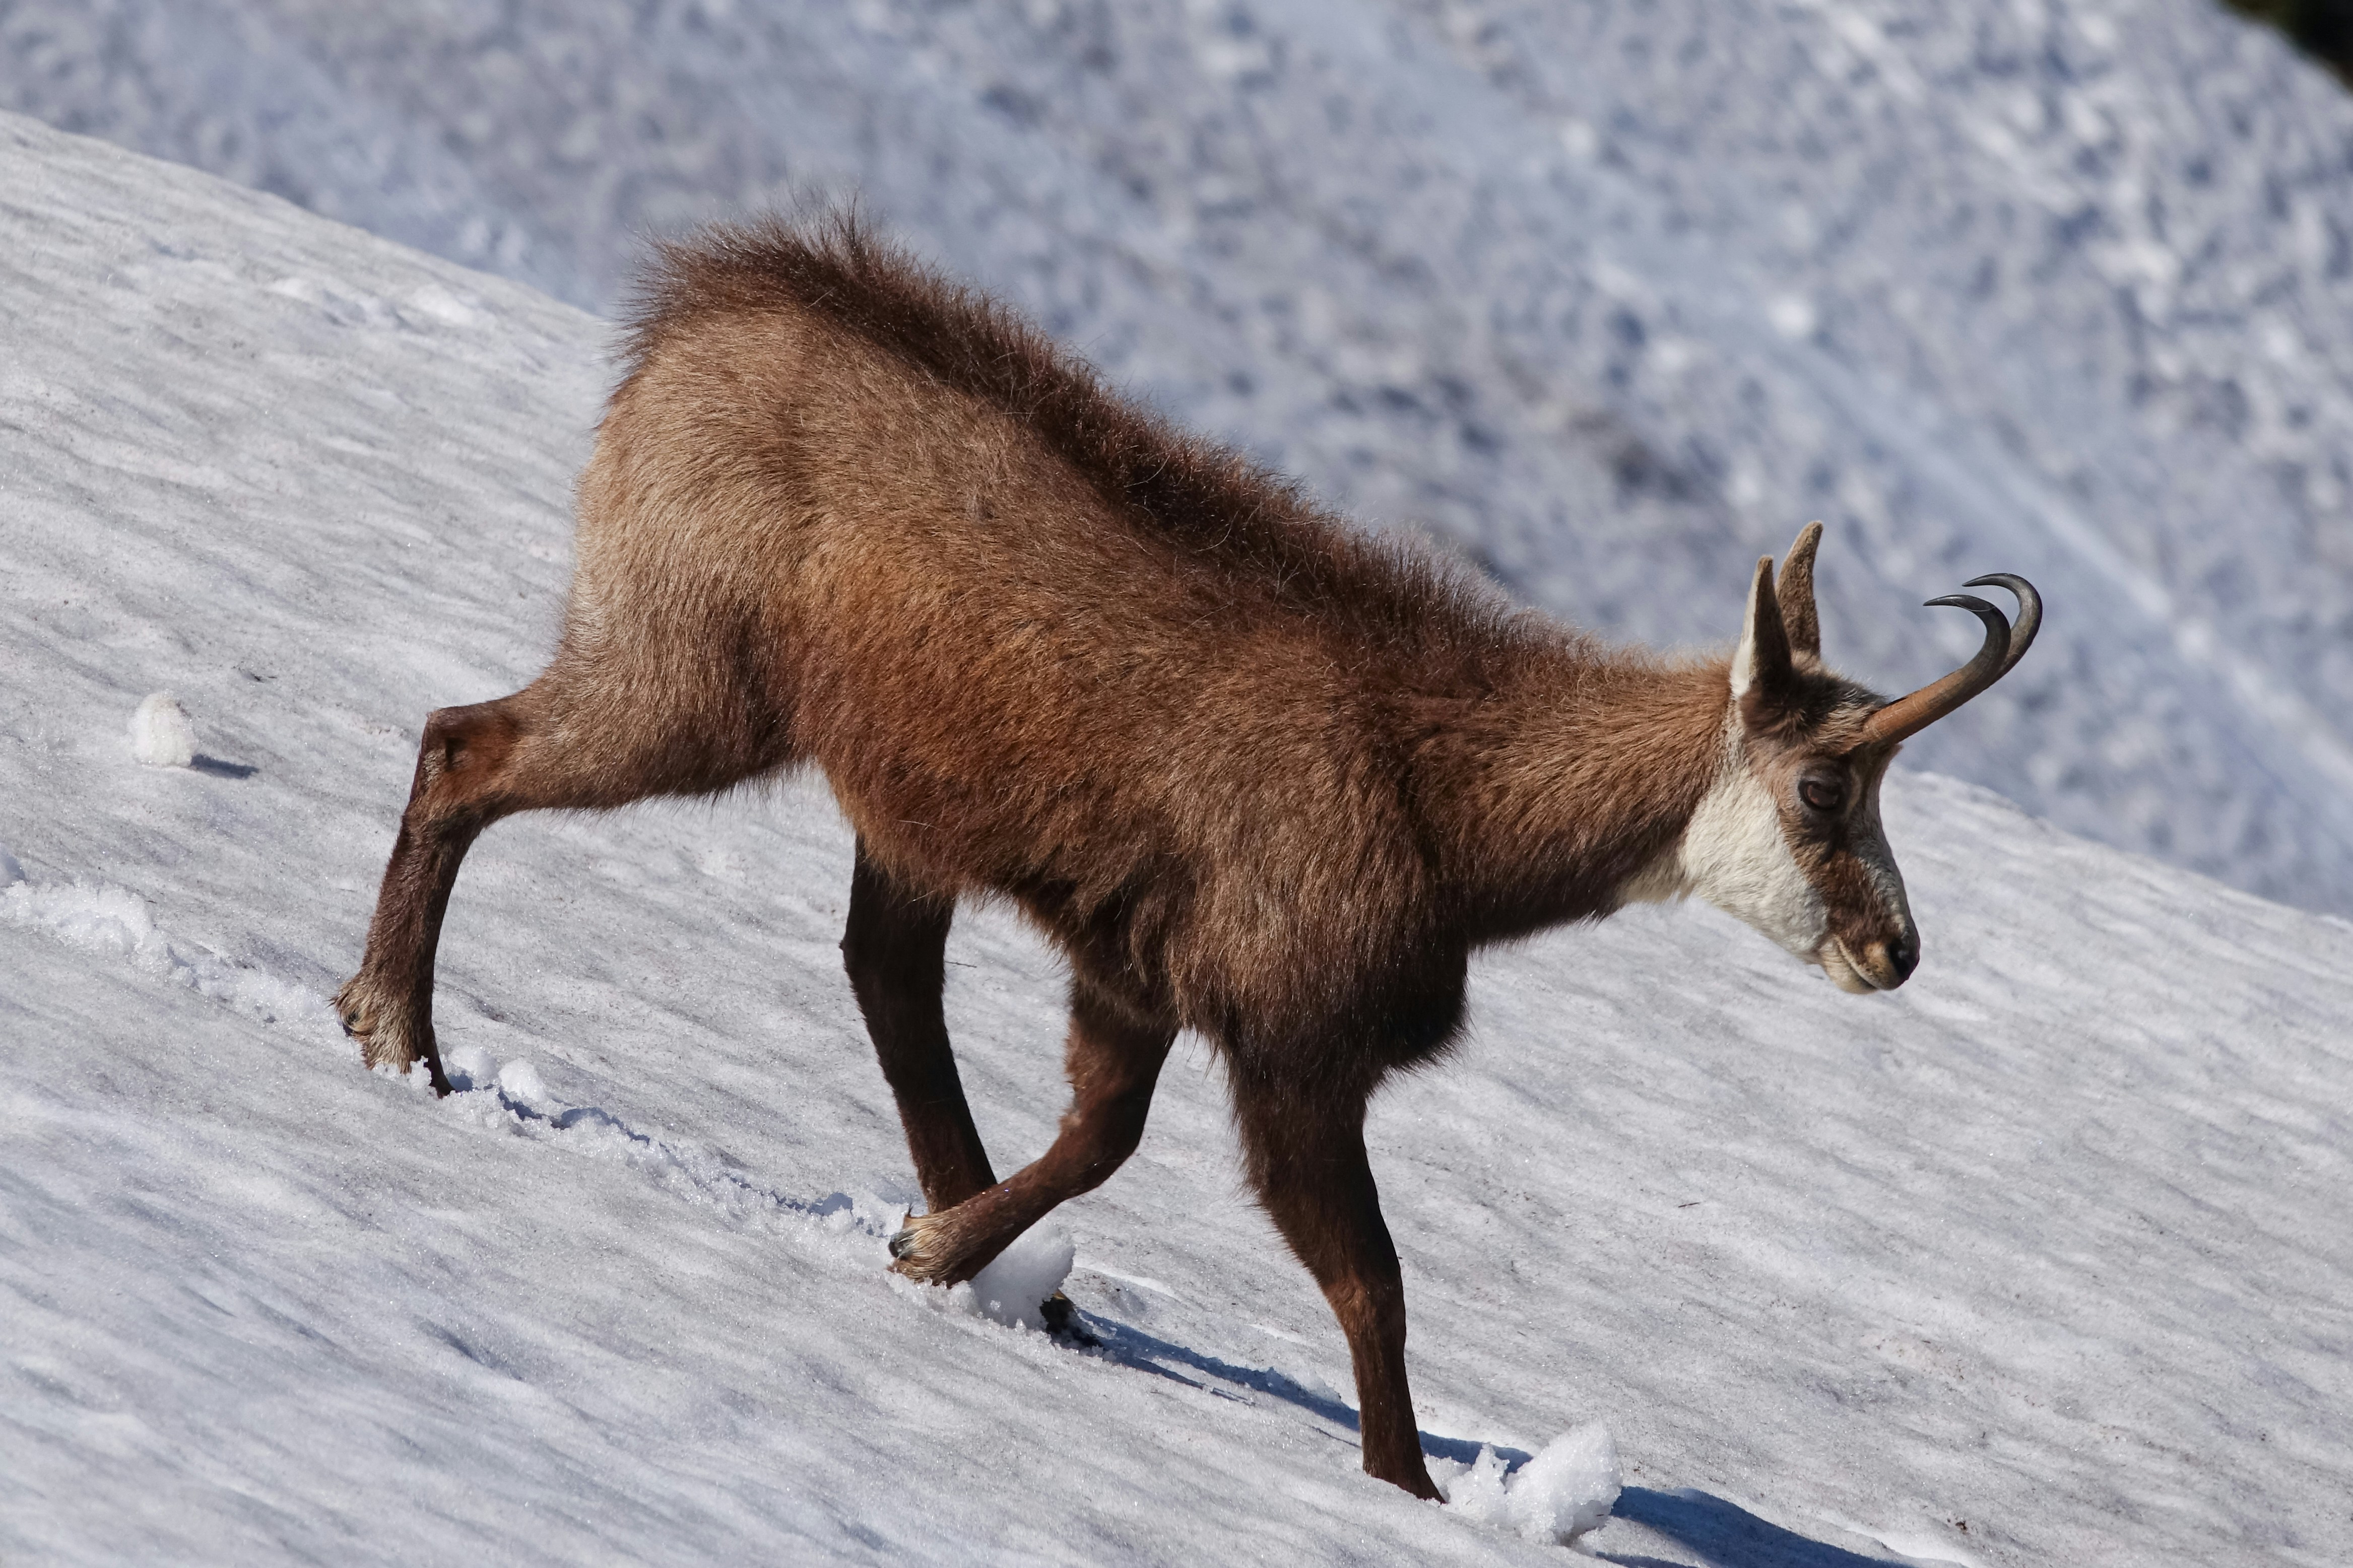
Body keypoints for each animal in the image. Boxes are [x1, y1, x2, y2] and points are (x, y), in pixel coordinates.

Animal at [336, 213, 2039, 1500]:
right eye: (1824, 784)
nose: (1893, 950)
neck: (1441, 795)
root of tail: (701, 310)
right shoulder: (1291, 1036)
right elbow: (1364, 1273)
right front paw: (1404, 1488)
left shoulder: (1137, 970)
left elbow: (1102, 1129)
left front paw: (943, 1249)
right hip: (692, 674)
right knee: (465, 747)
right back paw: (397, 1030)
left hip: (884, 793)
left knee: (883, 969)